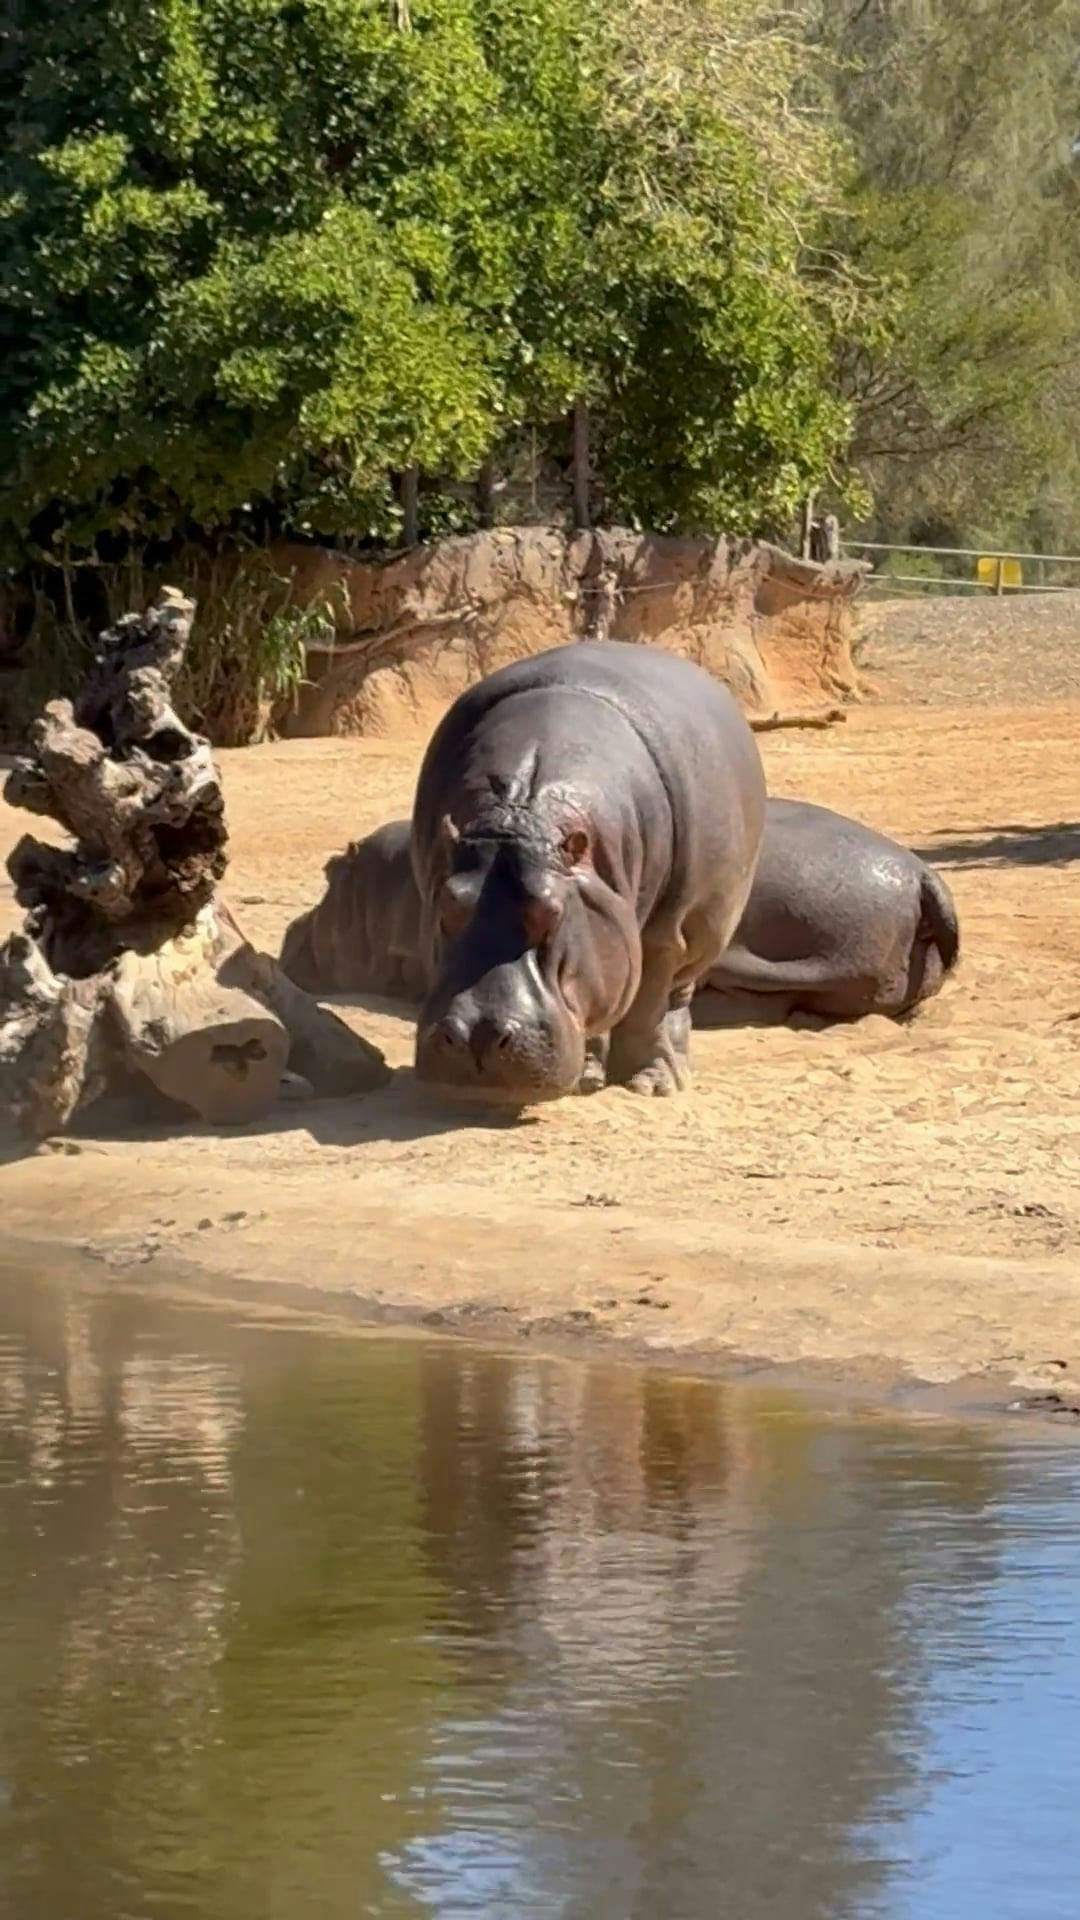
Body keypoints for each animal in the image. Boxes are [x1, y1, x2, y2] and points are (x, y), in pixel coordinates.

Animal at [410, 640, 766, 1102]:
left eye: (551, 912)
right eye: (449, 905)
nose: (475, 1037)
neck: (521, 811)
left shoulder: (661, 935)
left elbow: (646, 1007)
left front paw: (650, 1086)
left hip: (705, 929)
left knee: (675, 998)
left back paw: (672, 1073)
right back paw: (589, 1075)